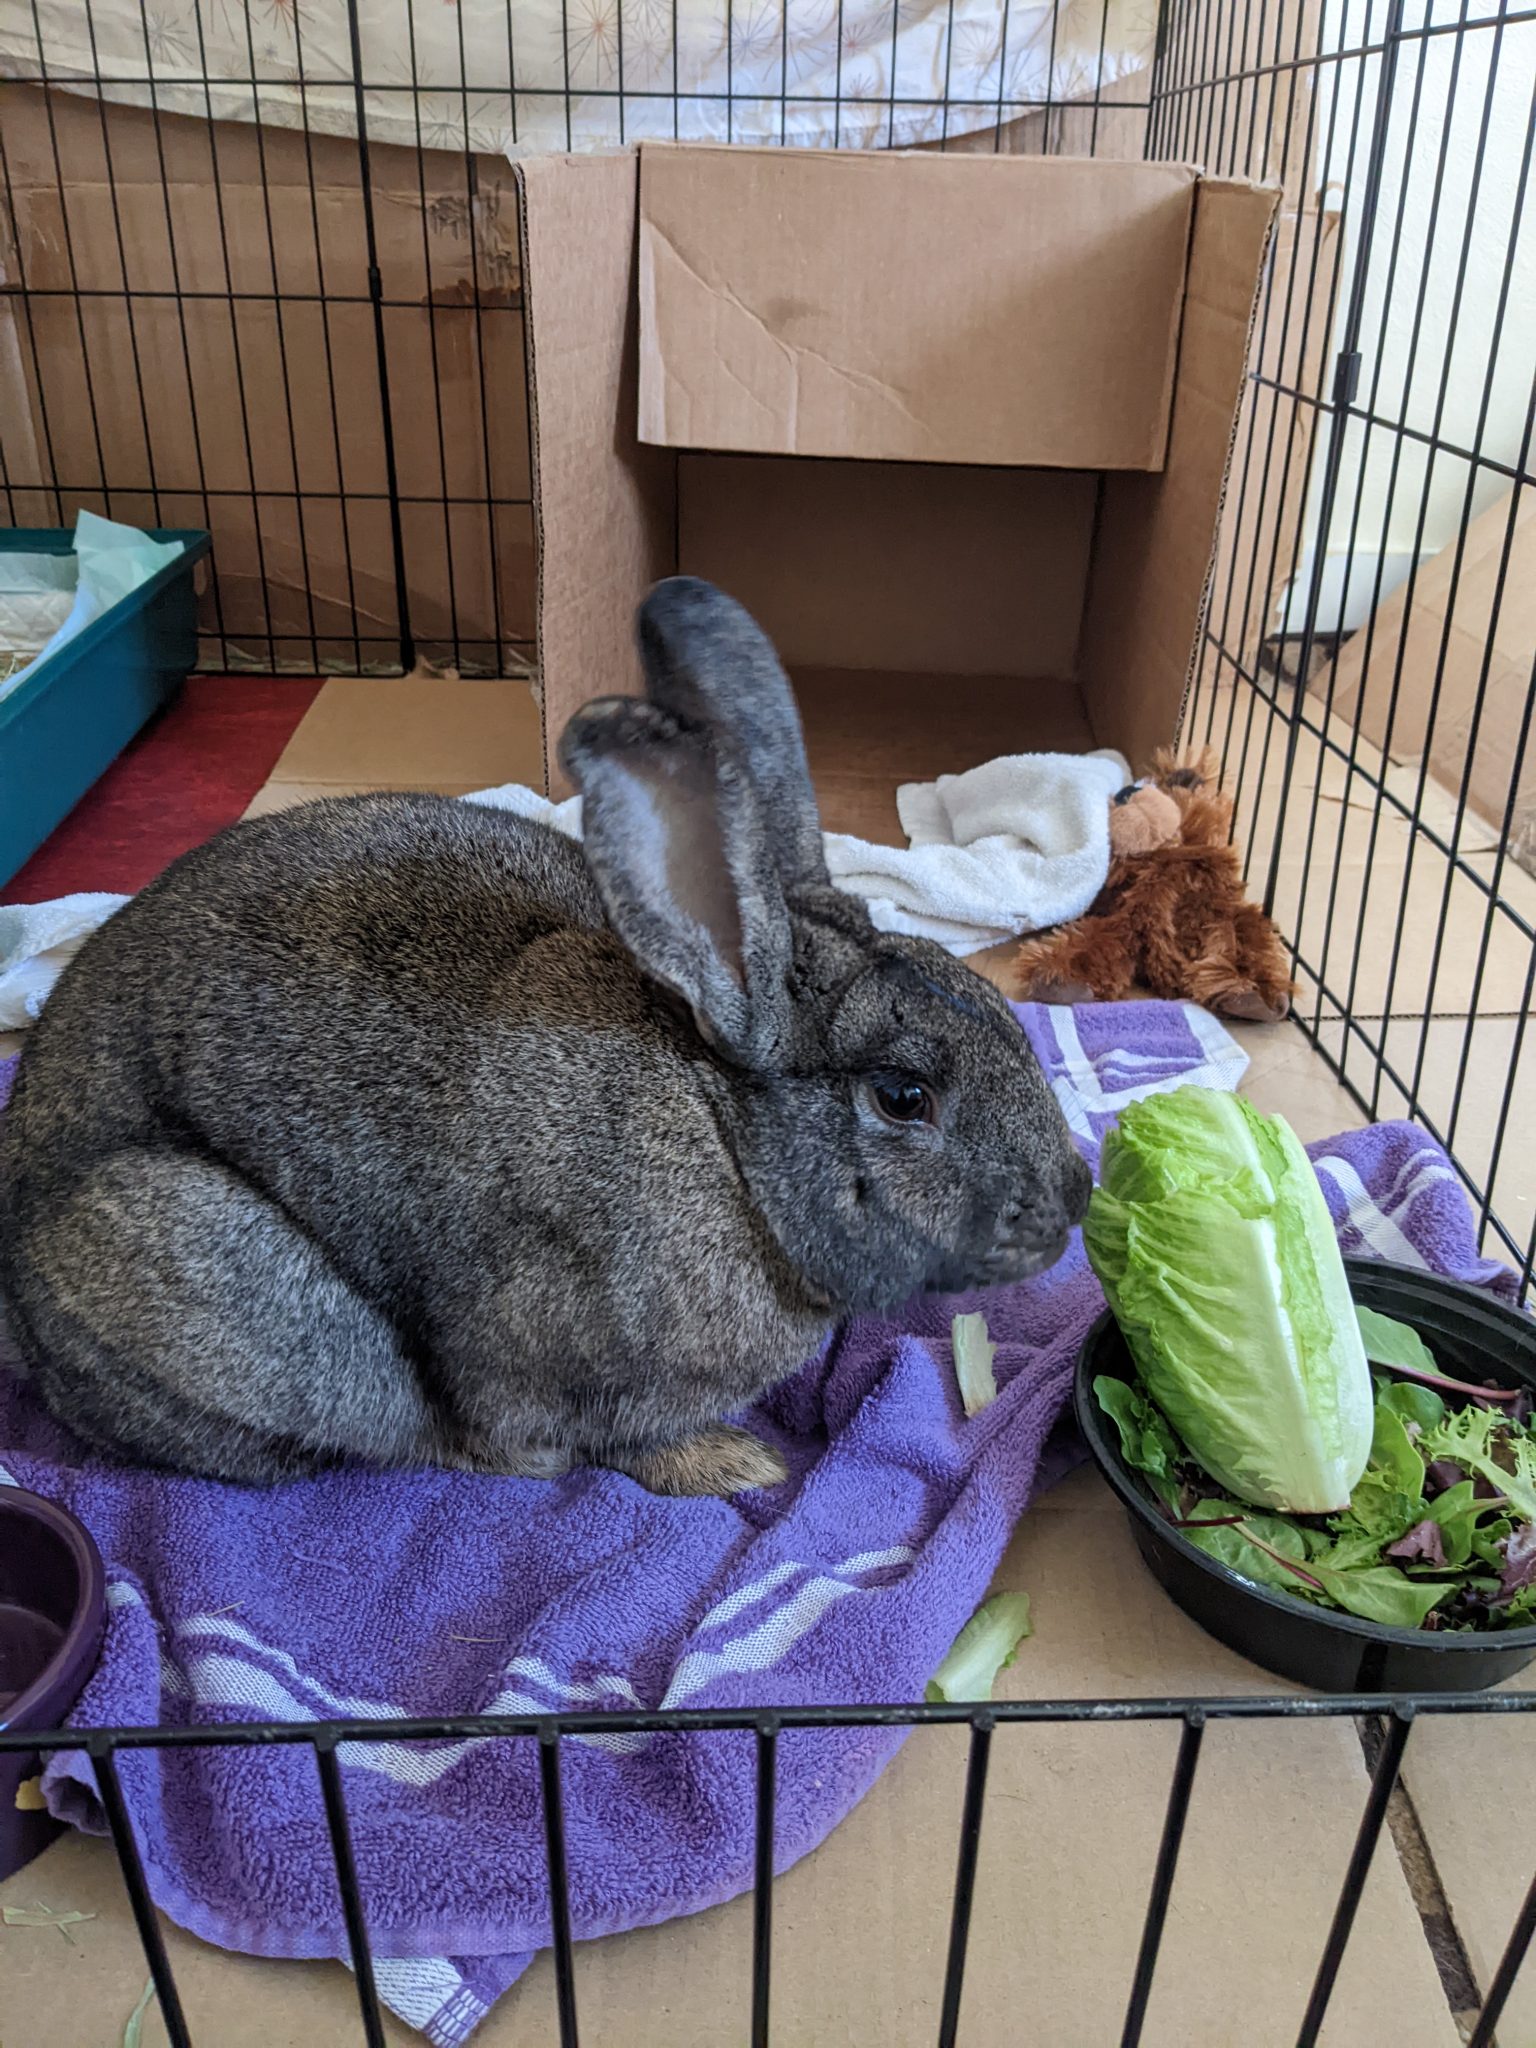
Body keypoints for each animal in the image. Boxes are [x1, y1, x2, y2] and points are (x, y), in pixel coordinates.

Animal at [0, 576, 1092, 1495]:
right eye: (905, 1096)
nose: (1074, 1195)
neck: (729, 1143)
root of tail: (23, 1304)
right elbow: (611, 1440)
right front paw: (735, 1464)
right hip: (218, 1277)